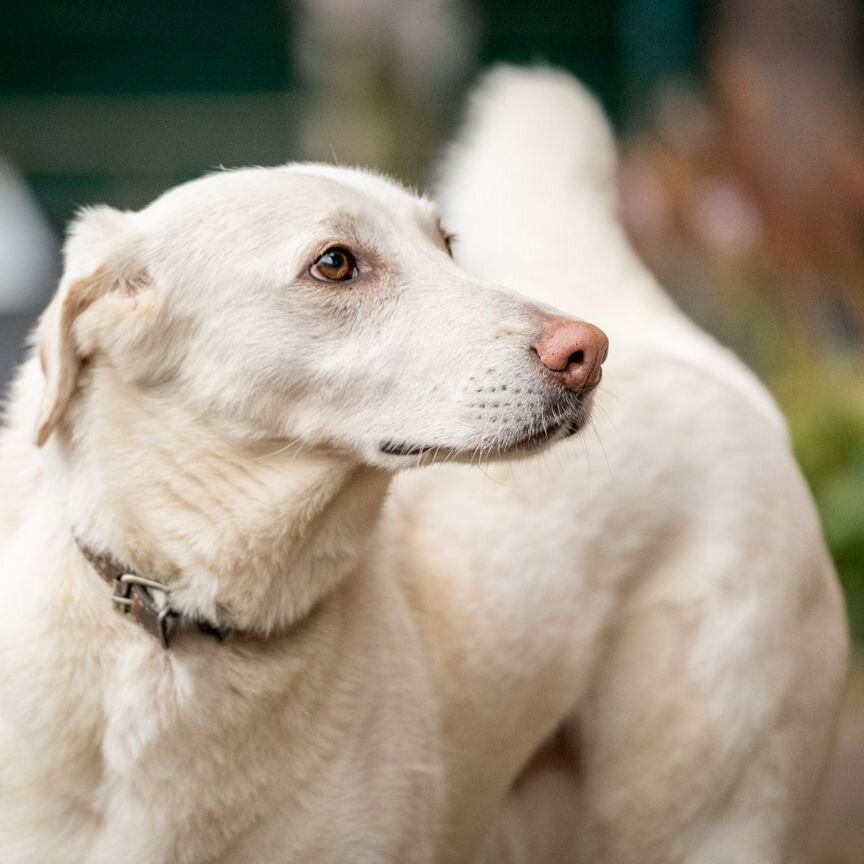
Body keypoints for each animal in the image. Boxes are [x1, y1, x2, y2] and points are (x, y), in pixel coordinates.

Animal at [0, 67, 848, 864]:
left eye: (446, 245)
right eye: (334, 264)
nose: (588, 353)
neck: (188, 616)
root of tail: (695, 354)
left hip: (703, 812)